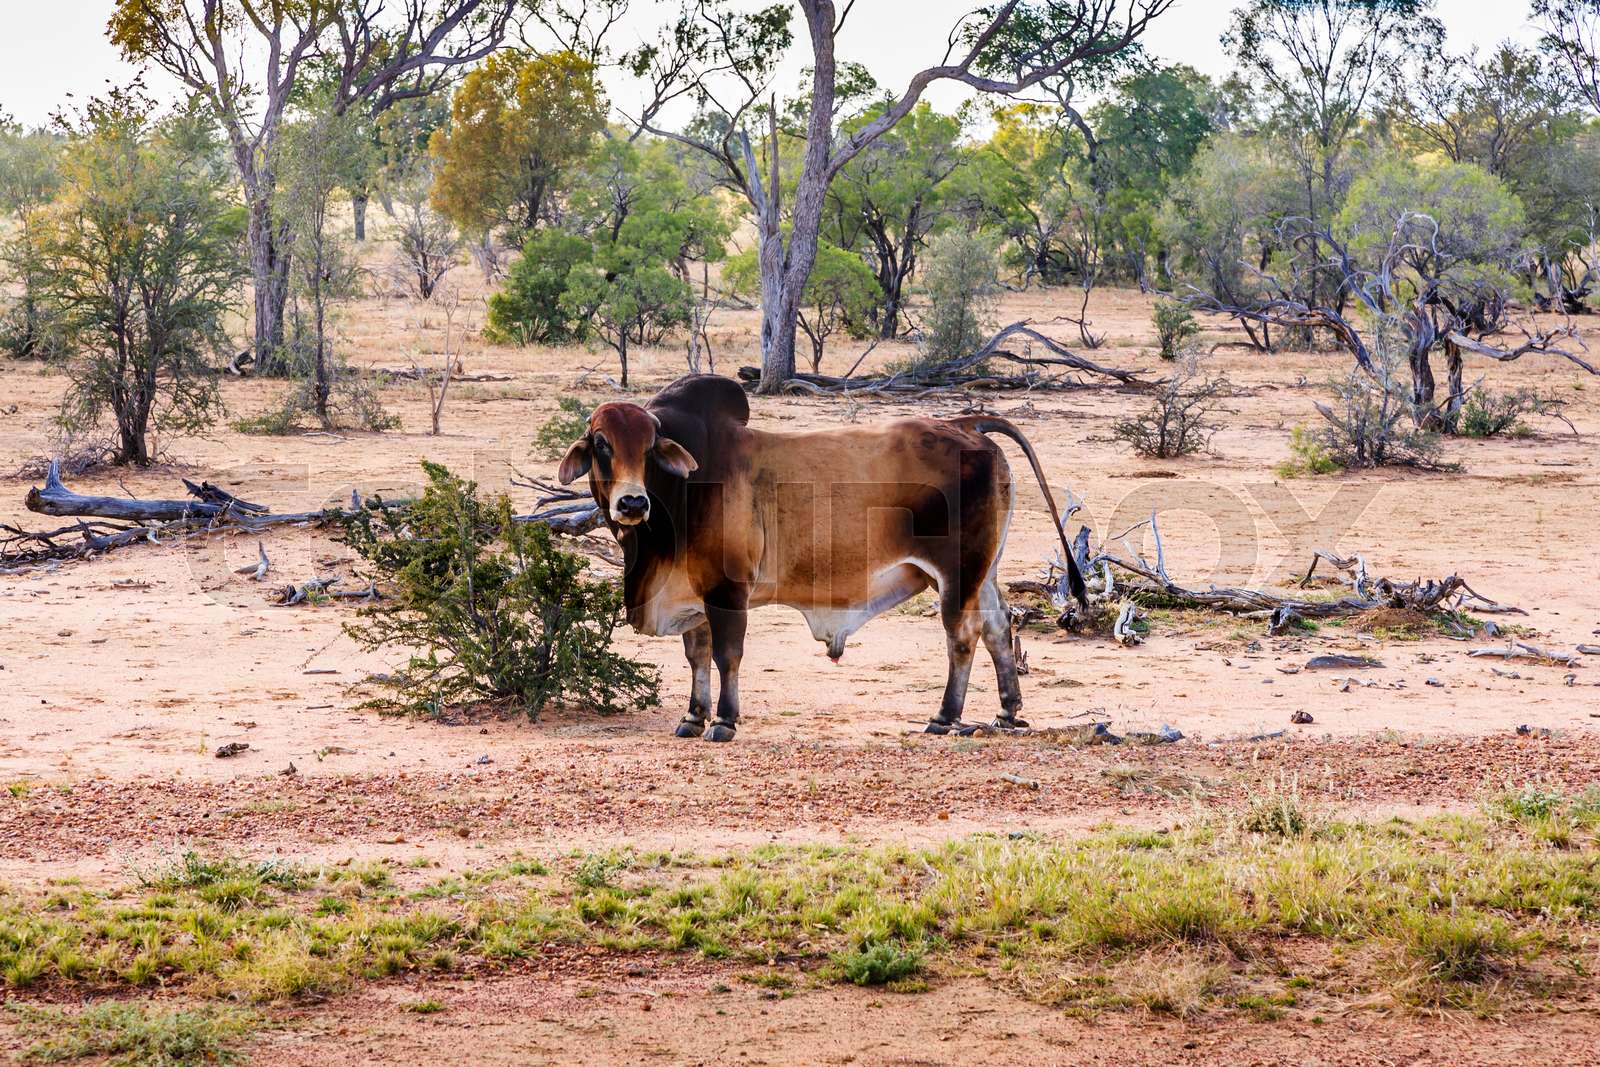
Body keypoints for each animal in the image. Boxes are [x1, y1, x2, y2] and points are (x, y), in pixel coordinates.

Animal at [557, 374, 1087, 741]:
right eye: (602, 444)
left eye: (649, 448)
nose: (632, 503)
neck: (683, 492)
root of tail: (965, 424)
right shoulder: (696, 592)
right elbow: (697, 655)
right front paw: (692, 716)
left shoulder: (728, 591)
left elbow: (728, 655)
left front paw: (724, 721)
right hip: (984, 570)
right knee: (999, 626)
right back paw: (1006, 711)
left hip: (957, 571)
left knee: (964, 634)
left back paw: (944, 717)